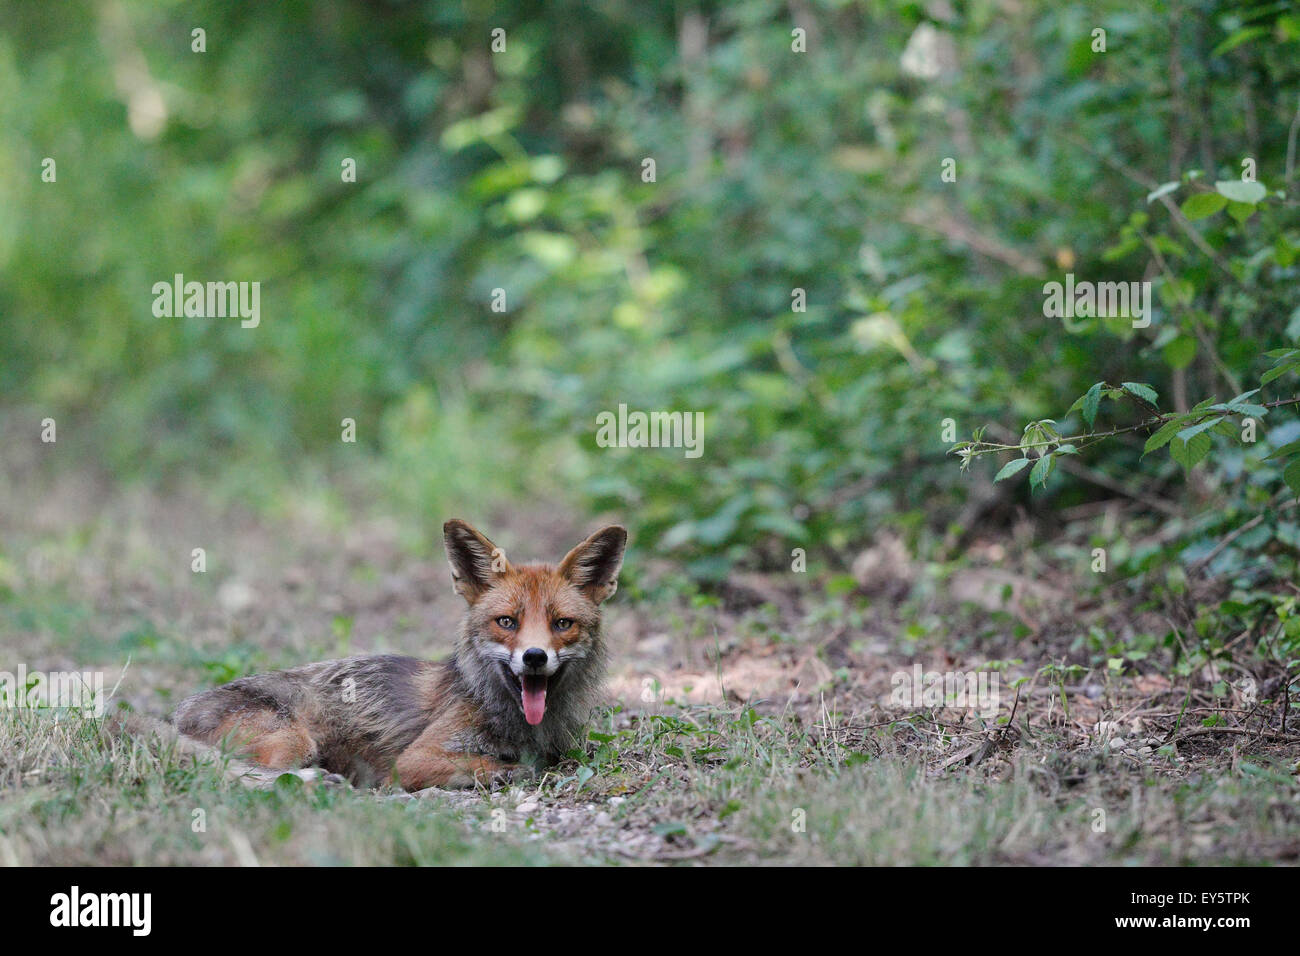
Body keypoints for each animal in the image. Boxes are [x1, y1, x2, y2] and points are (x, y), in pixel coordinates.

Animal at [172, 519, 627, 791]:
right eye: (507, 622)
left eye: (562, 624)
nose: (534, 657)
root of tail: (178, 711)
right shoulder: (414, 761)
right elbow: (495, 765)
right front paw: (512, 771)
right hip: (294, 741)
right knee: (252, 774)